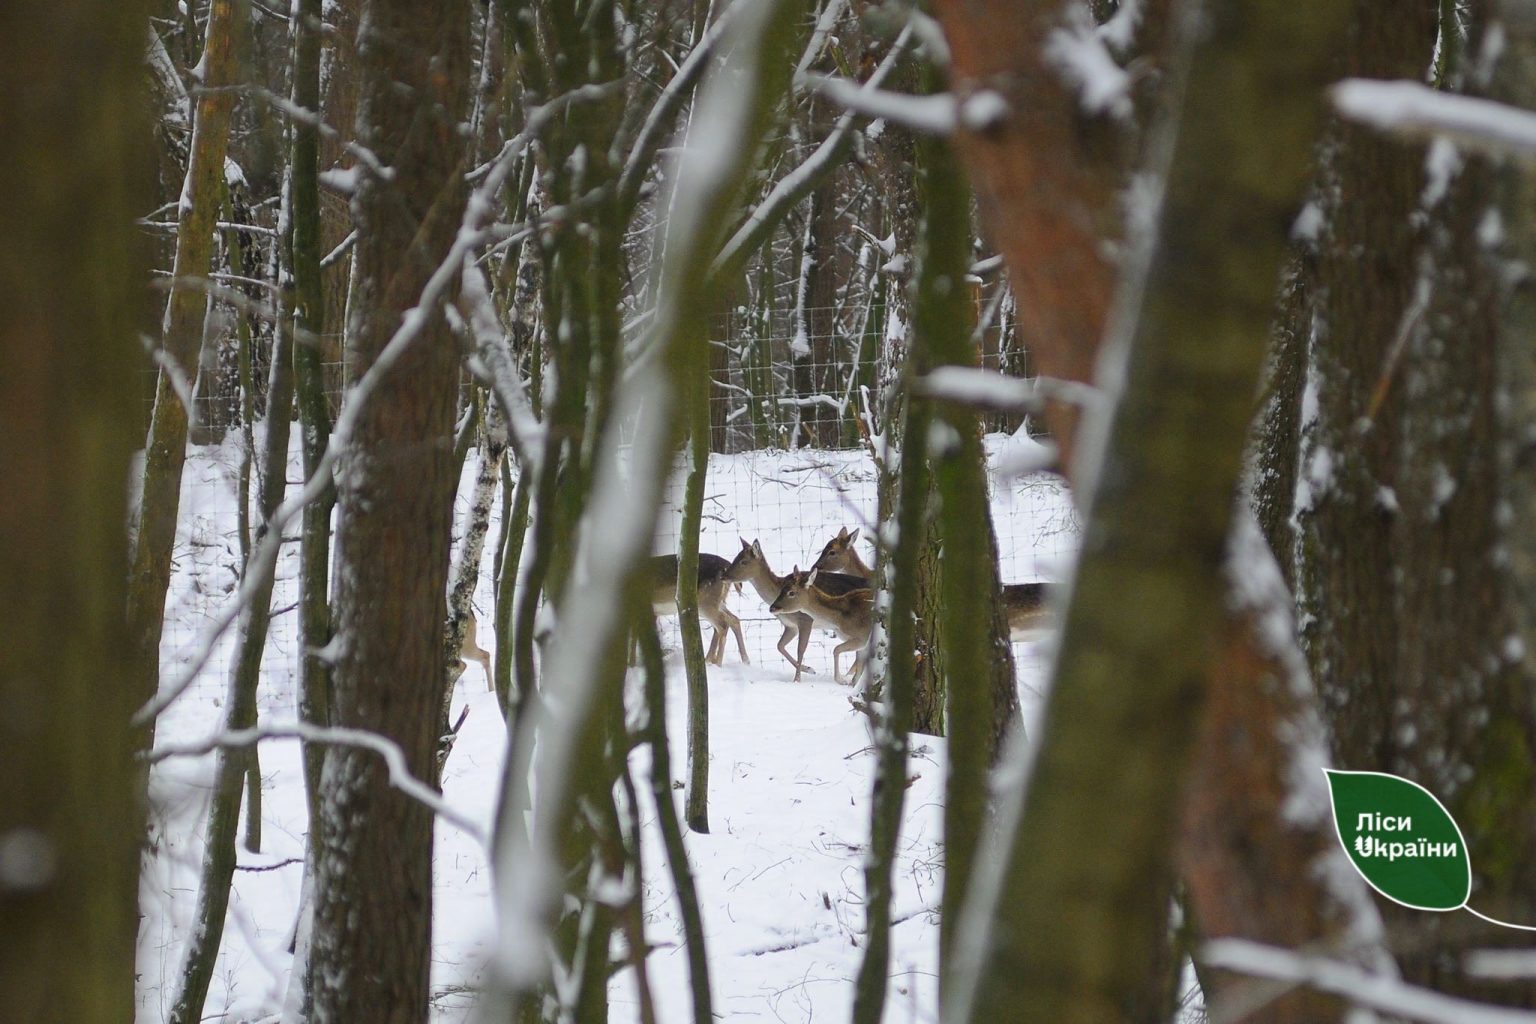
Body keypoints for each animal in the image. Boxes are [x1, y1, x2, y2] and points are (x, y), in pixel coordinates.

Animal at [726, 538, 868, 682]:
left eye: (744, 561)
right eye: (735, 558)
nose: (723, 576)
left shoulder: (806, 620)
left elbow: (800, 649)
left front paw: (798, 679)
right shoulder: (790, 625)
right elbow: (780, 646)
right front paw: (809, 669)